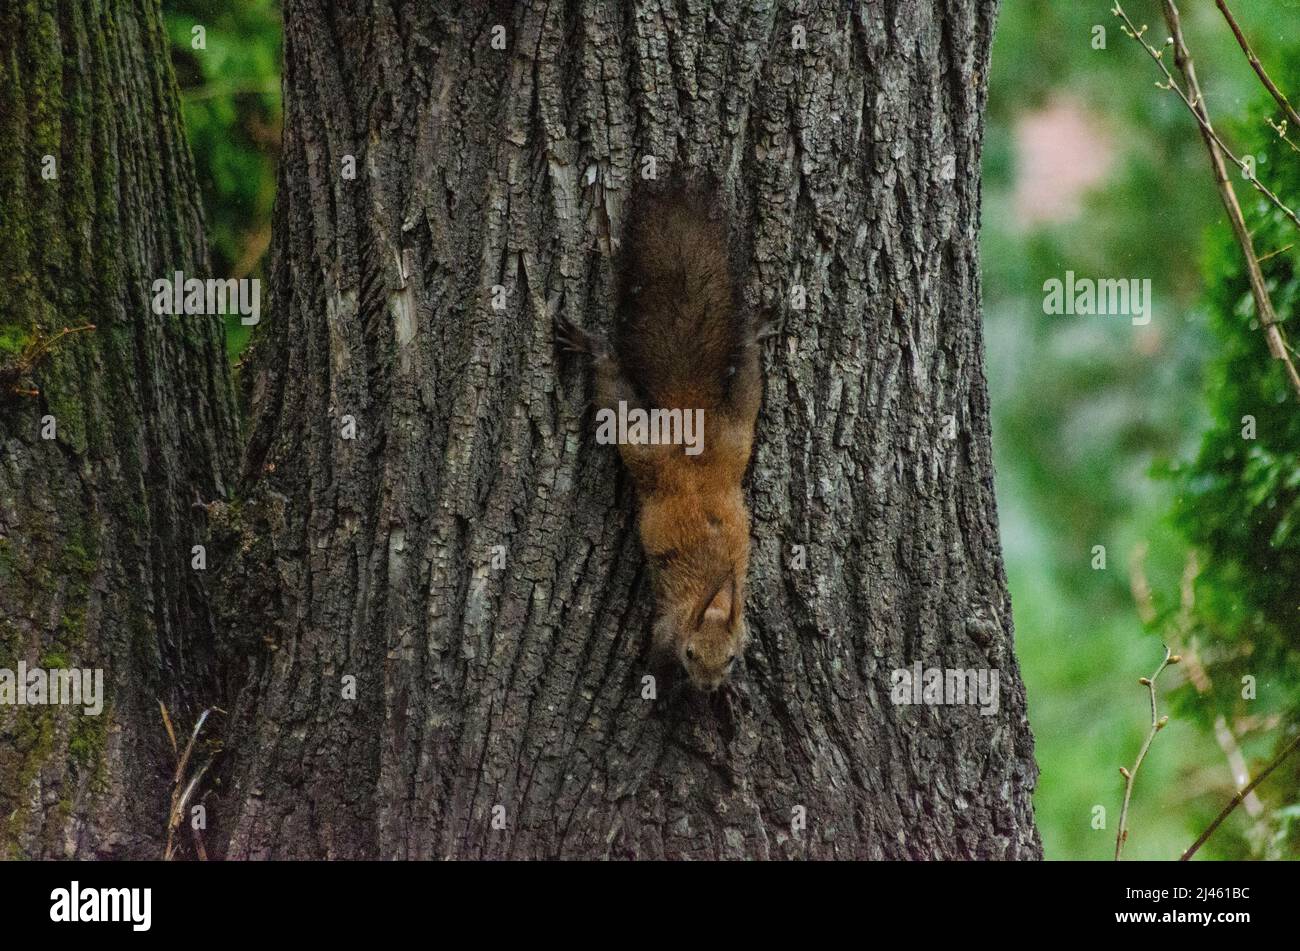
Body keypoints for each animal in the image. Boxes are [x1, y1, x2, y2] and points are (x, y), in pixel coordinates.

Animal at [557, 184, 766, 692]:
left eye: (732, 659)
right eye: (691, 653)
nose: (708, 687)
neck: (710, 603)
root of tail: (689, 421)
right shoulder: (668, 626)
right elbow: (655, 657)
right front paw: (668, 695)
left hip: (734, 434)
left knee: (746, 387)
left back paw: (753, 334)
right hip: (648, 448)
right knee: (617, 399)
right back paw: (594, 348)